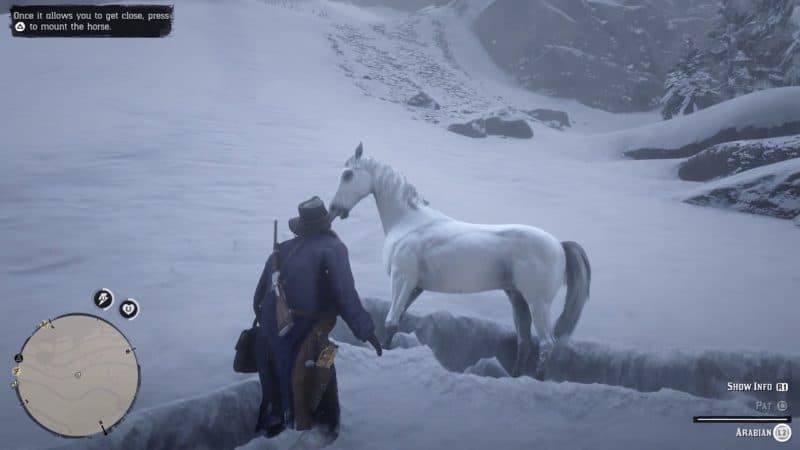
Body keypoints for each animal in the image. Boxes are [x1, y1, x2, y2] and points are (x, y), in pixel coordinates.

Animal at [329, 143, 591, 378]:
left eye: (348, 174)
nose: (333, 210)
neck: (409, 223)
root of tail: (559, 245)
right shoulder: (415, 287)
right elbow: (398, 319)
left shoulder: (402, 279)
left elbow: (392, 321)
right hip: (518, 299)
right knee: (525, 341)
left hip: (538, 302)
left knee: (547, 343)